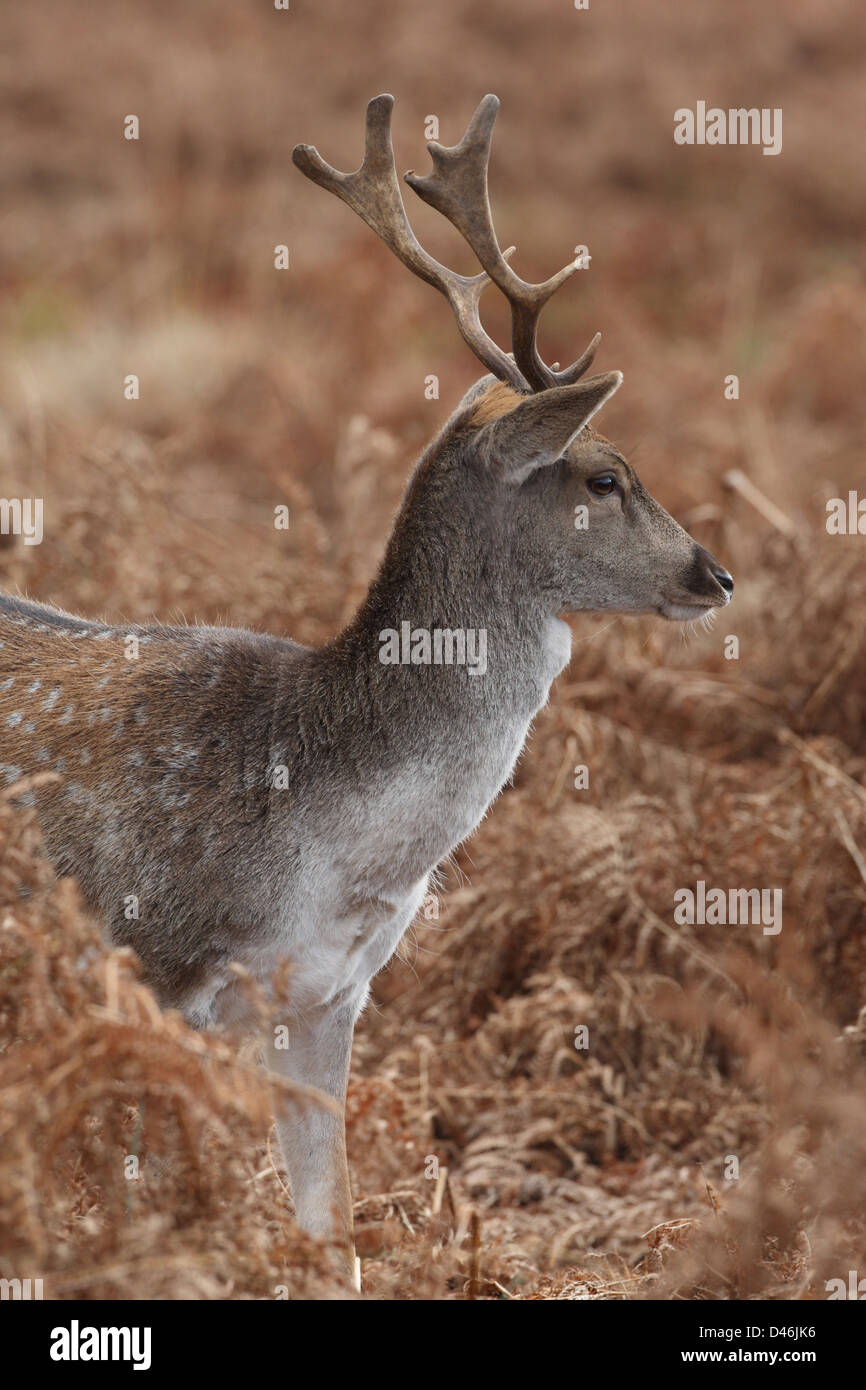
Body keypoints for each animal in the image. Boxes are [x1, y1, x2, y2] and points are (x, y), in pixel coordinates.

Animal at [0, 94, 732, 1287]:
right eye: (603, 474)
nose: (715, 576)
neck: (325, 836)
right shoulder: (156, 962)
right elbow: (143, 1204)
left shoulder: (333, 993)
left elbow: (328, 1221)